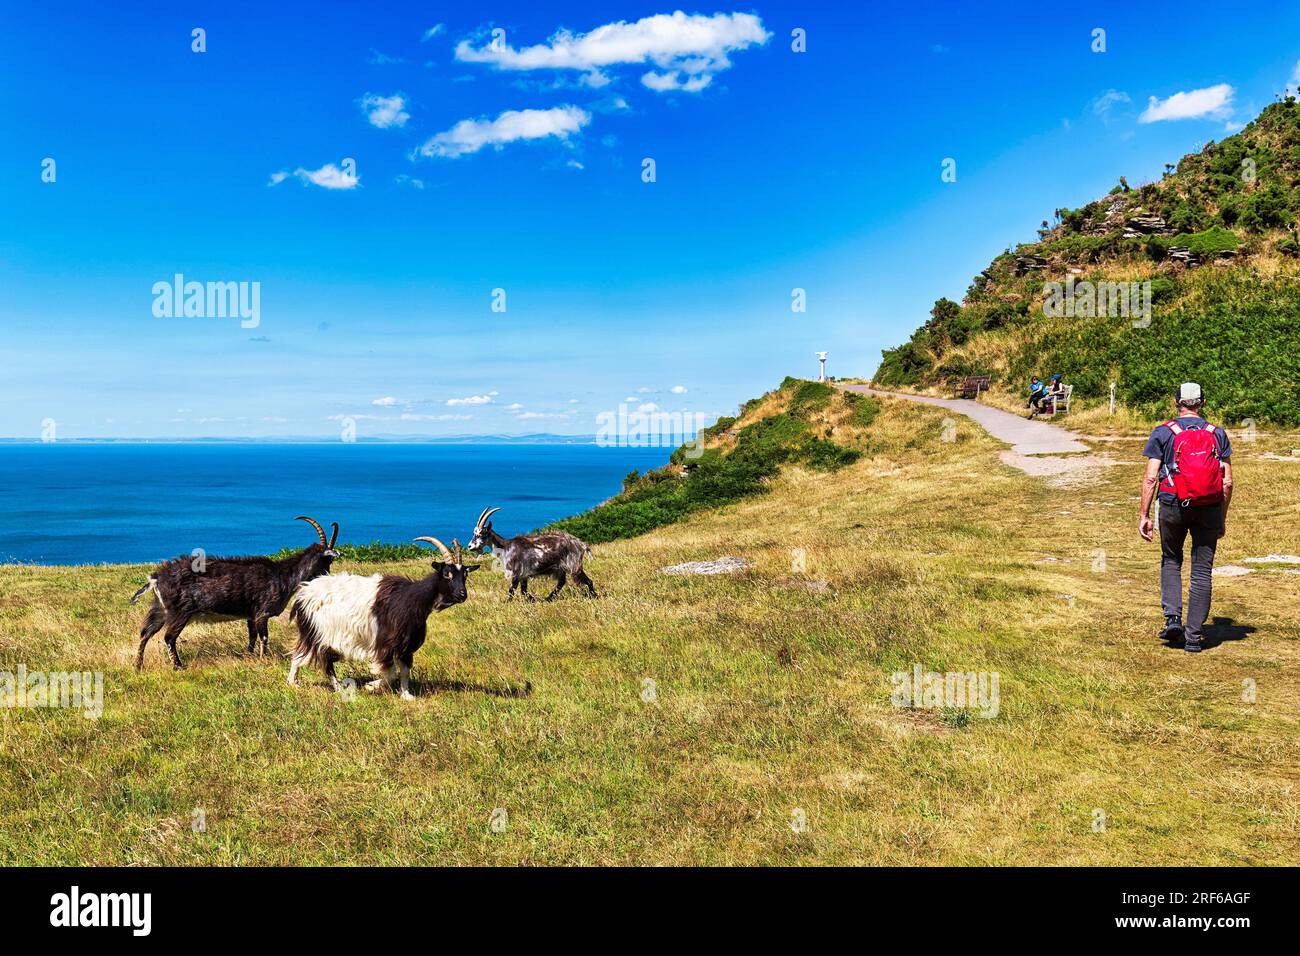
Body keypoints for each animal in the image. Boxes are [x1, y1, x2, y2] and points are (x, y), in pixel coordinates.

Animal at [131, 516, 340, 669]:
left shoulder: (251, 615)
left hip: (160, 609)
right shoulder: (262, 612)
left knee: (145, 633)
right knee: (169, 637)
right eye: (326, 561)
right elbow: (264, 637)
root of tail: (157, 577)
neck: (282, 575)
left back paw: (138, 665)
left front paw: (249, 656)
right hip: (179, 612)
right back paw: (178, 666)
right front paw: (264, 659)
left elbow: (252, 636)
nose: (329, 579)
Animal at [287, 536, 479, 700]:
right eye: (447, 574)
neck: (411, 599)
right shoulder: (384, 643)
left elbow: (405, 671)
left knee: (303, 654)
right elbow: (391, 672)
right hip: (318, 632)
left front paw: (406, 695)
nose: (462, 595)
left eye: (465, 575)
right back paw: (333, 687)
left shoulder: (406, 645)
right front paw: (371, 686)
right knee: (318, 658)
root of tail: (304, 592)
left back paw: (296, 682)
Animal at [467, 506, 596, 600]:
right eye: (474, 533)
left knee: (587, 580)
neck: (506, 547)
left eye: (481, 534)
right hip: (561, 568)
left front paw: (507, 602)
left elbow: (512, 590)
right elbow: (523, 591)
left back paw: (594, 596)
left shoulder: (517, 572)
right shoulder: (524, 575)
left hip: (573, 565)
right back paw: (549, 598)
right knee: (561, 582)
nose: (470, 546)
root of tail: (581, 544)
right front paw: (533, 599)